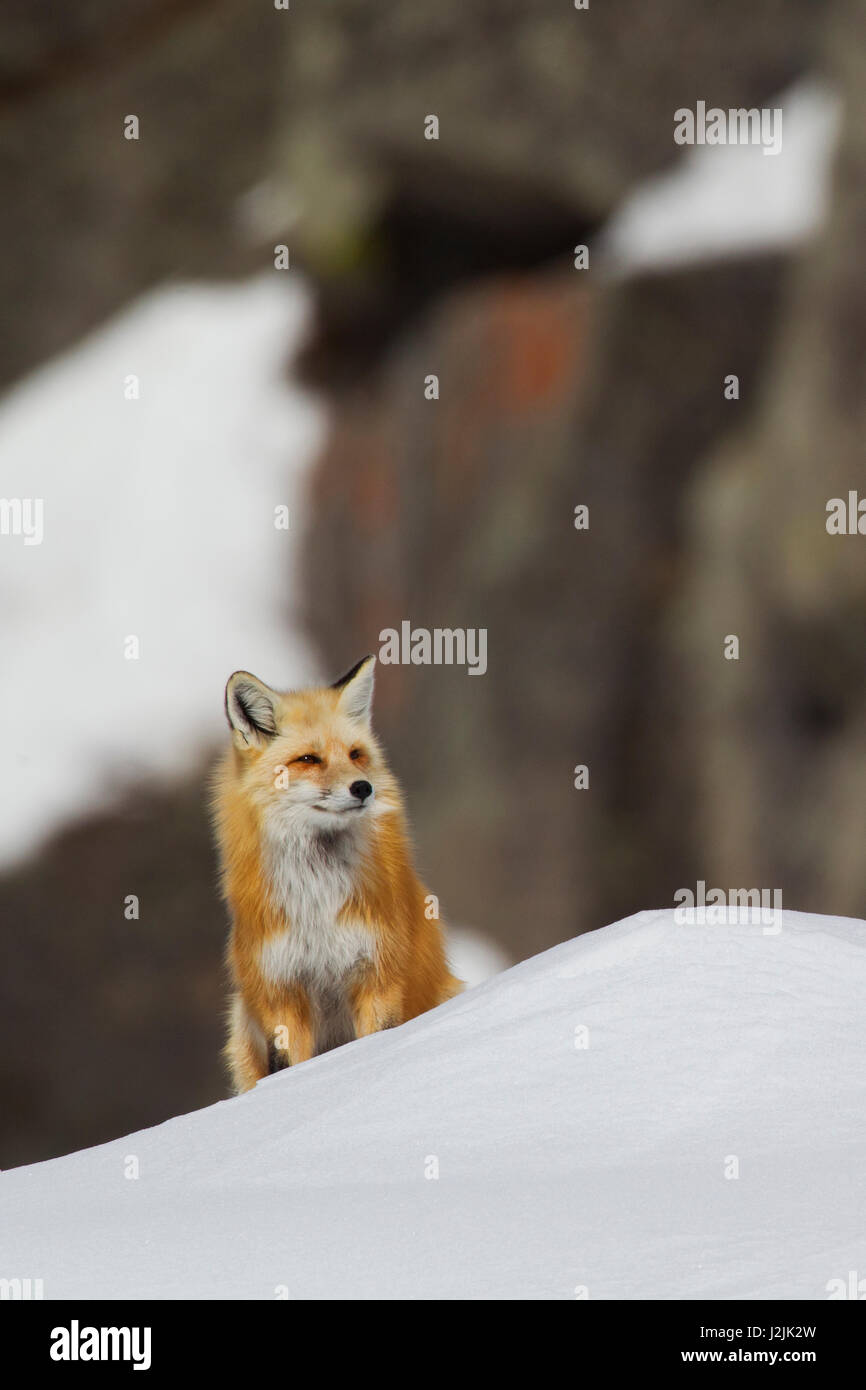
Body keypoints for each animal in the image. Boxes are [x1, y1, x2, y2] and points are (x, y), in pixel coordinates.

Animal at [211, 654, 462, 1092]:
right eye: (308, 760)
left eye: (356, 754)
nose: (363, 788)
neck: (317, 900)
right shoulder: (281, 992)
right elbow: (287, 1066)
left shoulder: (377, 976)